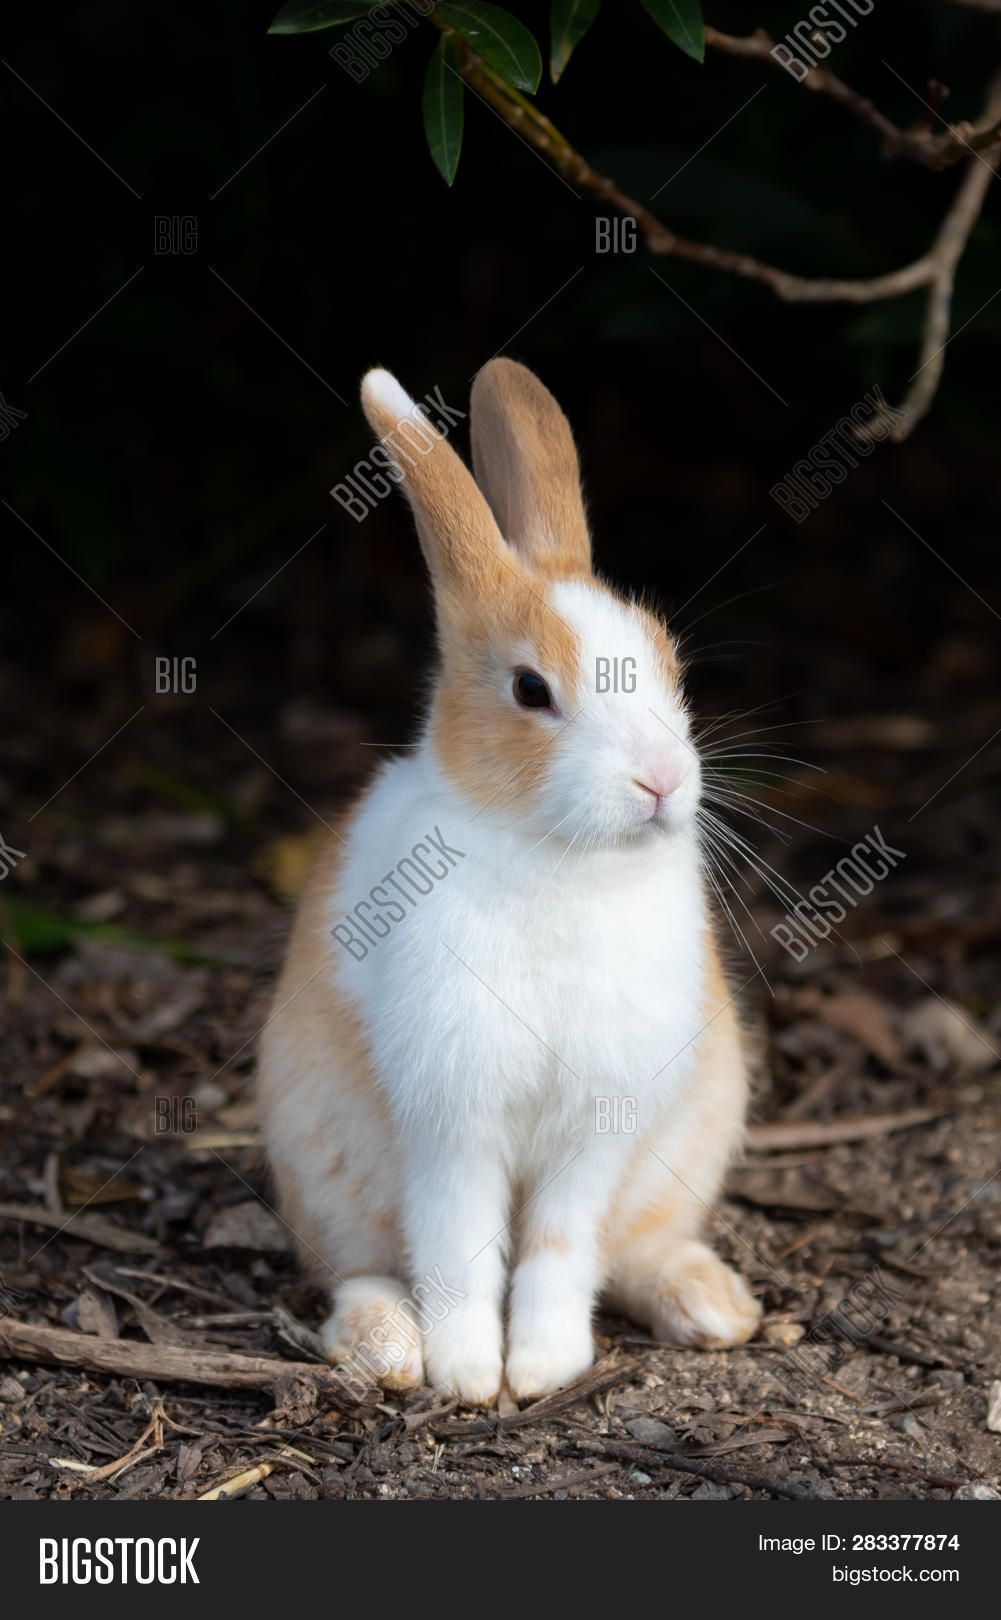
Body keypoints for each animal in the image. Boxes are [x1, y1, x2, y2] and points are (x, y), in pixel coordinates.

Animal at [256, 358, 761, 1405]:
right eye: (532, 691)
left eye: (667, 663)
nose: (662, 779)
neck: (557, 854)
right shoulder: (452, 1119)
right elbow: (456, 1245)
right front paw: (465, 1374)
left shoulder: (596, 1127)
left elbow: (561, 1247)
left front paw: (539, 1367)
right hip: (323, 1168)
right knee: (359, 1269)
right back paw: (388, 1349)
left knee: (636, 1249)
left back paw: (712, 1308)